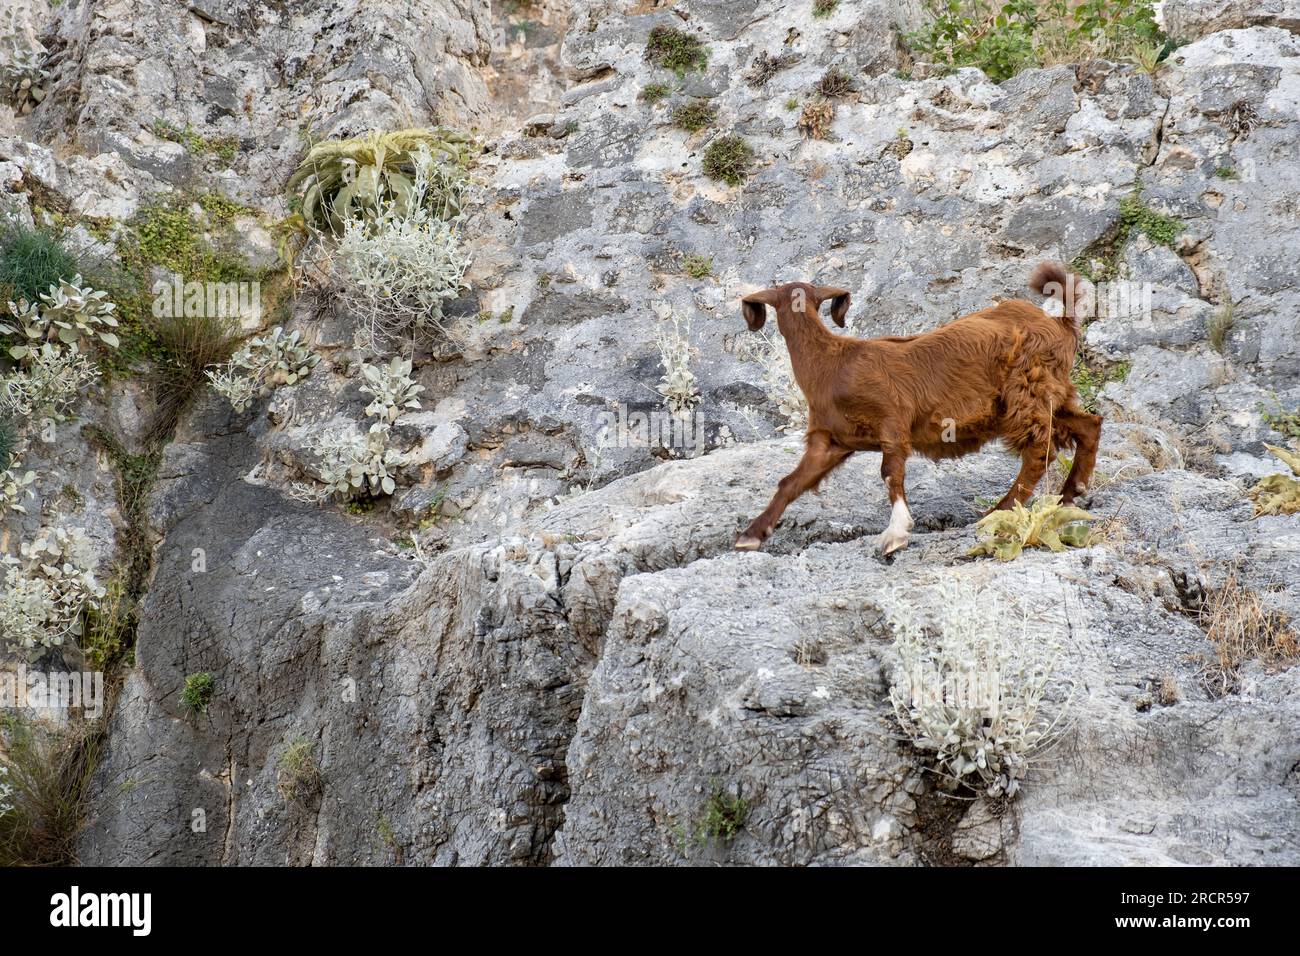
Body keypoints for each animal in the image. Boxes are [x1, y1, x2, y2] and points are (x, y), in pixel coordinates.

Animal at [734, 263, 1102, 556]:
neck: (832, 363)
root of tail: (1062, 322)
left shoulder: (892, 419)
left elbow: (890, 472)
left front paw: (895, 534)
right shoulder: (830, 440)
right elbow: (791, 482)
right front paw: (751, 535)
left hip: (1025, 390)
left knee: (1041, 449)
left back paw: (1002, 509)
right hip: (1049, 393)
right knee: (1089, 424)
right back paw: (1072, 493)